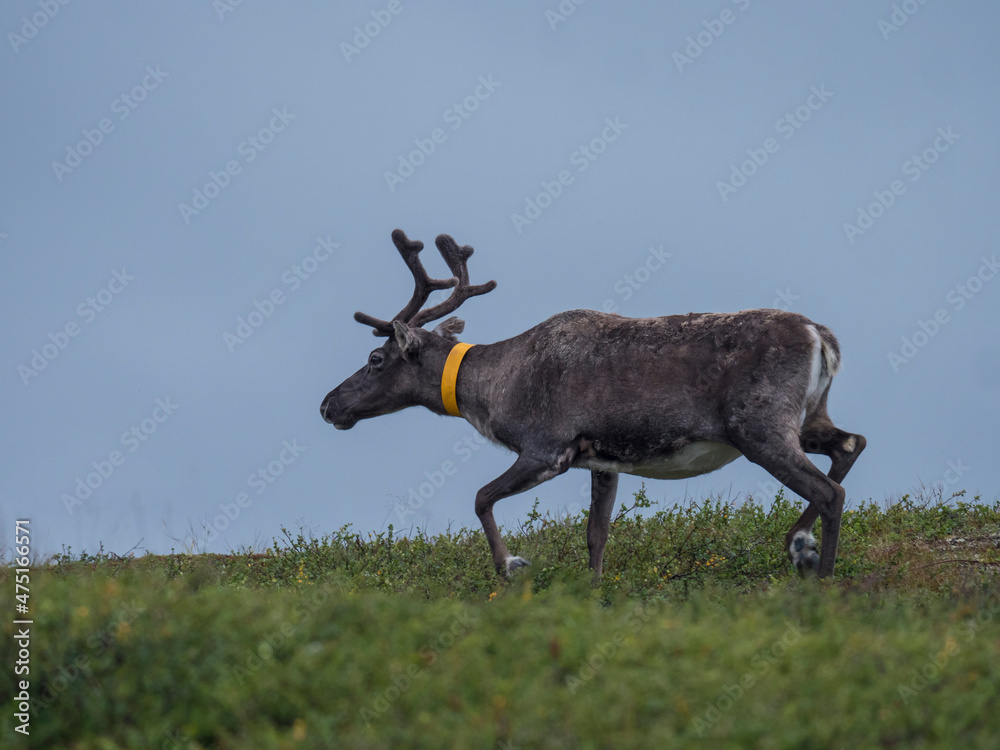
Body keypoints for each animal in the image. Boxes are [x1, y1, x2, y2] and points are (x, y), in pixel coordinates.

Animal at [320, 229, 866, 580]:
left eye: (375, 358)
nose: (328, 406)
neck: (494, 387)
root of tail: (822, 336)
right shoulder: (603, 460)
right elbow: (596, 534)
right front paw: (593, 593)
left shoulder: (547, 449)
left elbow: (480, 497)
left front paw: (510, 565)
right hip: (806, 418)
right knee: (851, 444)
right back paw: (798, 543)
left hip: (760, 426)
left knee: (830, 491)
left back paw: (820, 577)